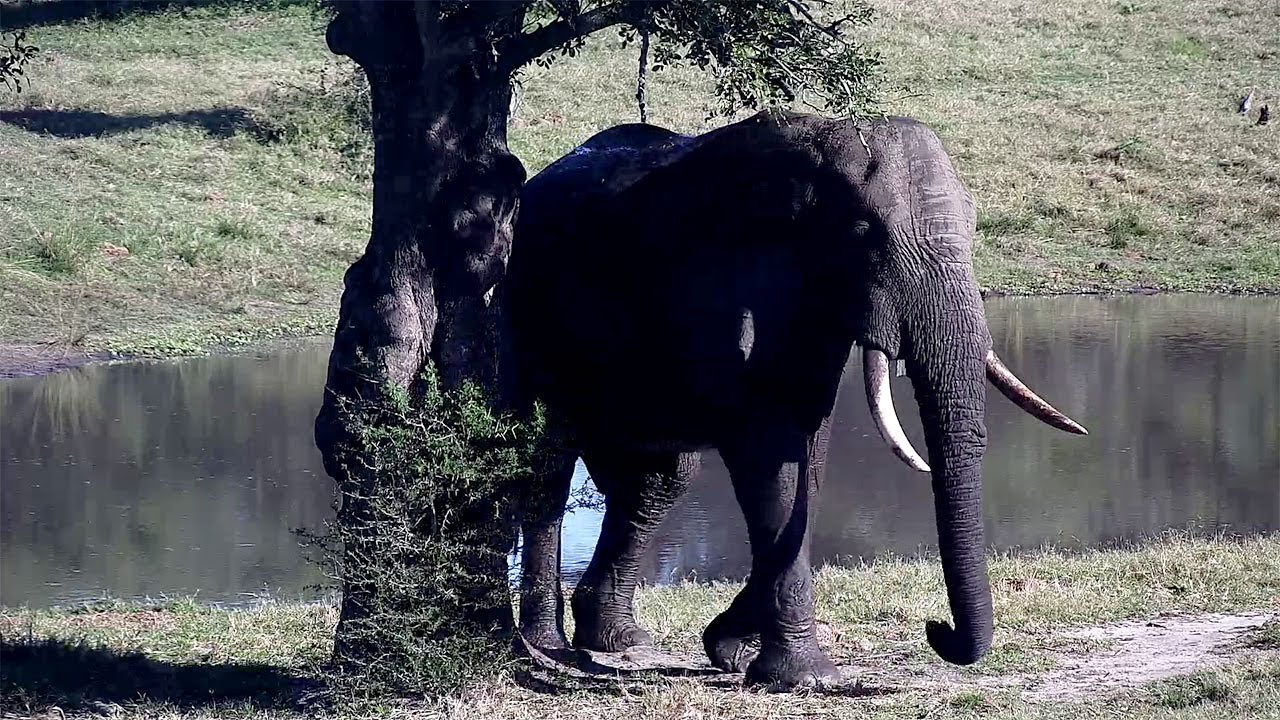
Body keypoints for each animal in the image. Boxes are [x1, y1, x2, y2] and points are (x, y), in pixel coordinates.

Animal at [502, 109, 1087, 689]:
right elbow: (768, 453)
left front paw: (730, 648)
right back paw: (548, 644)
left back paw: (619, 639)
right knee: (547, 470)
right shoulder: (728, 295)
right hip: (525, 316)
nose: (936, 629)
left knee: (661, 481)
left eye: (973, 225)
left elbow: (808, 454)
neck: (822, 144)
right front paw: (802, 676)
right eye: (863, 235)